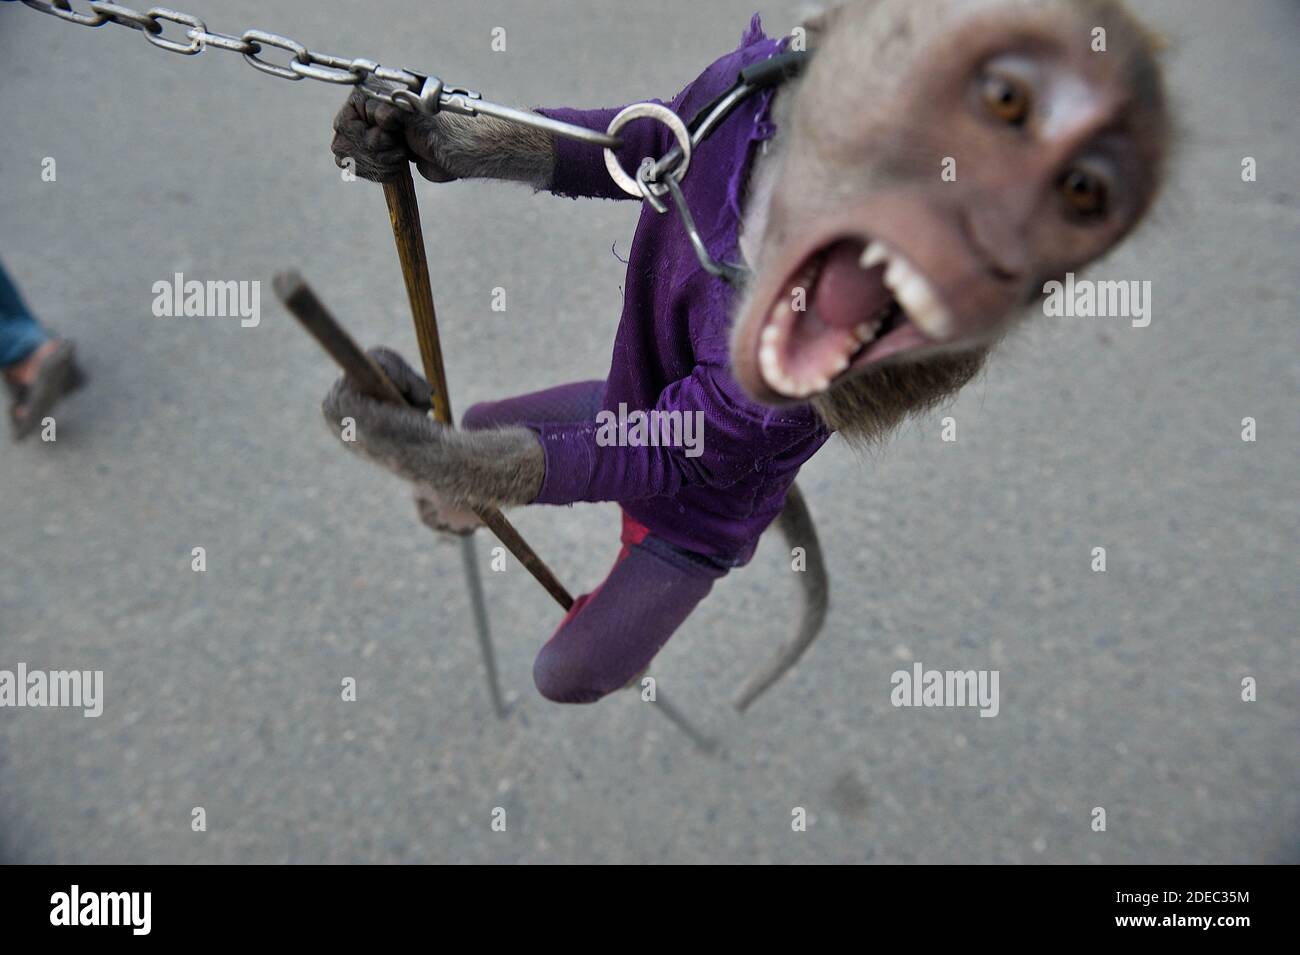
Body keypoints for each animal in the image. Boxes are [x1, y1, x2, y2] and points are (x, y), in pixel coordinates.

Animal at [323, 0, 1170, 706]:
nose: (989, 230)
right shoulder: (732, 84)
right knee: (540, 411)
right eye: (1003, 100)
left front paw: (406, 444)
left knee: (580, 656)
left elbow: (678, 443)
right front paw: (424, 138)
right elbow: (635, 138)